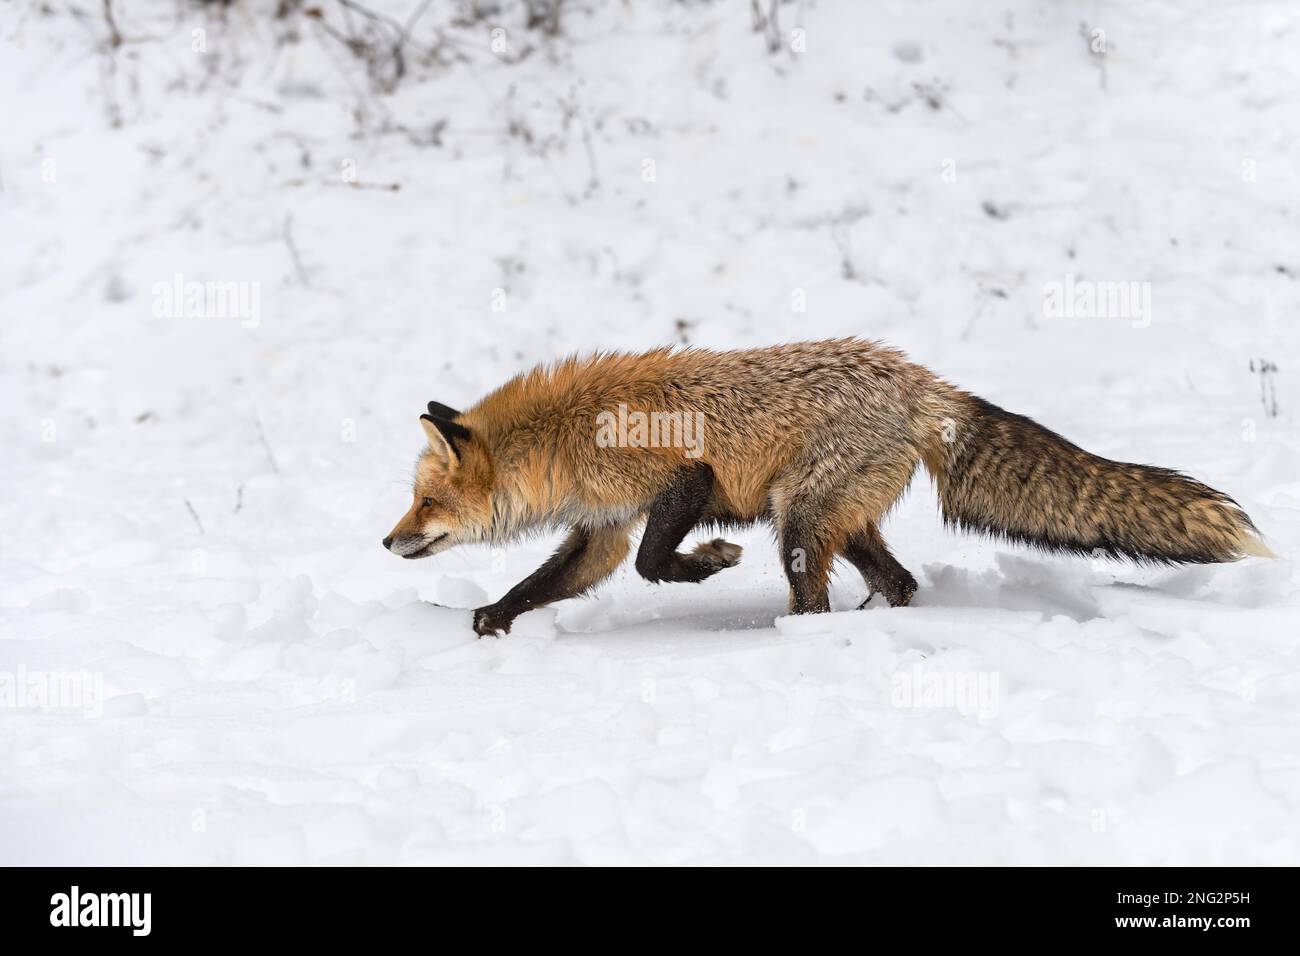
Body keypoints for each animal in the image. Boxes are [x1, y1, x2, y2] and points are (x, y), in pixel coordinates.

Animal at [383, 339, 1273, 637]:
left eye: (426, 504)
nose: (388, 540)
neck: (564, 438)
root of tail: (921, 382)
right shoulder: (602, 525)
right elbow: (549, 581)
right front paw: (492, 622)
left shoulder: (683, 478)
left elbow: (654, 563)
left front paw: (711, 563)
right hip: (838, 516)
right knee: (901, 582)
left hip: (798, 518)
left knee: (816, 596)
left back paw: (796, 641)